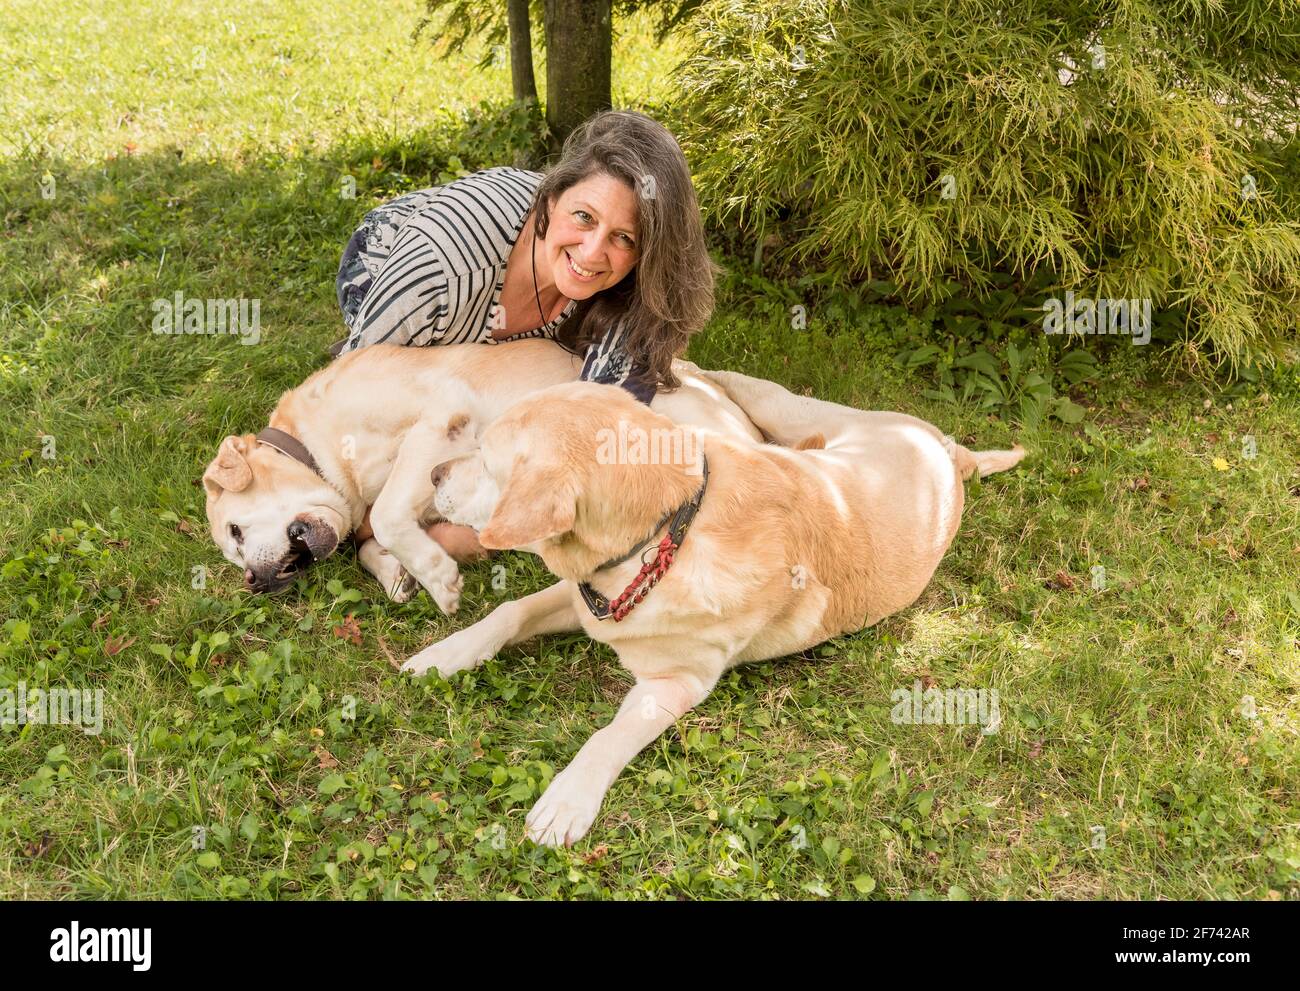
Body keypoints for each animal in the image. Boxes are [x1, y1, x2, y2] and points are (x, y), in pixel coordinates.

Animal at [201, 340, 759, 606]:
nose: (255, 582)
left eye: (235, 532)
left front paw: (437, 578)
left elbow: (385, 516)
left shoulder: (442, 414)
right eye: (234, 553)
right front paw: (399, 576)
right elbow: (369, 541)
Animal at [405, 369, 1024, 842]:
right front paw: (443, 656)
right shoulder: (586, 593)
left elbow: (609, 737)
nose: (433, 474)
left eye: (486, 461)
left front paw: (569, 799)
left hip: (796, 408)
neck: (669, 529)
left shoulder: (676, 683)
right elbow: (508, 612)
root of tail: (947, 454)